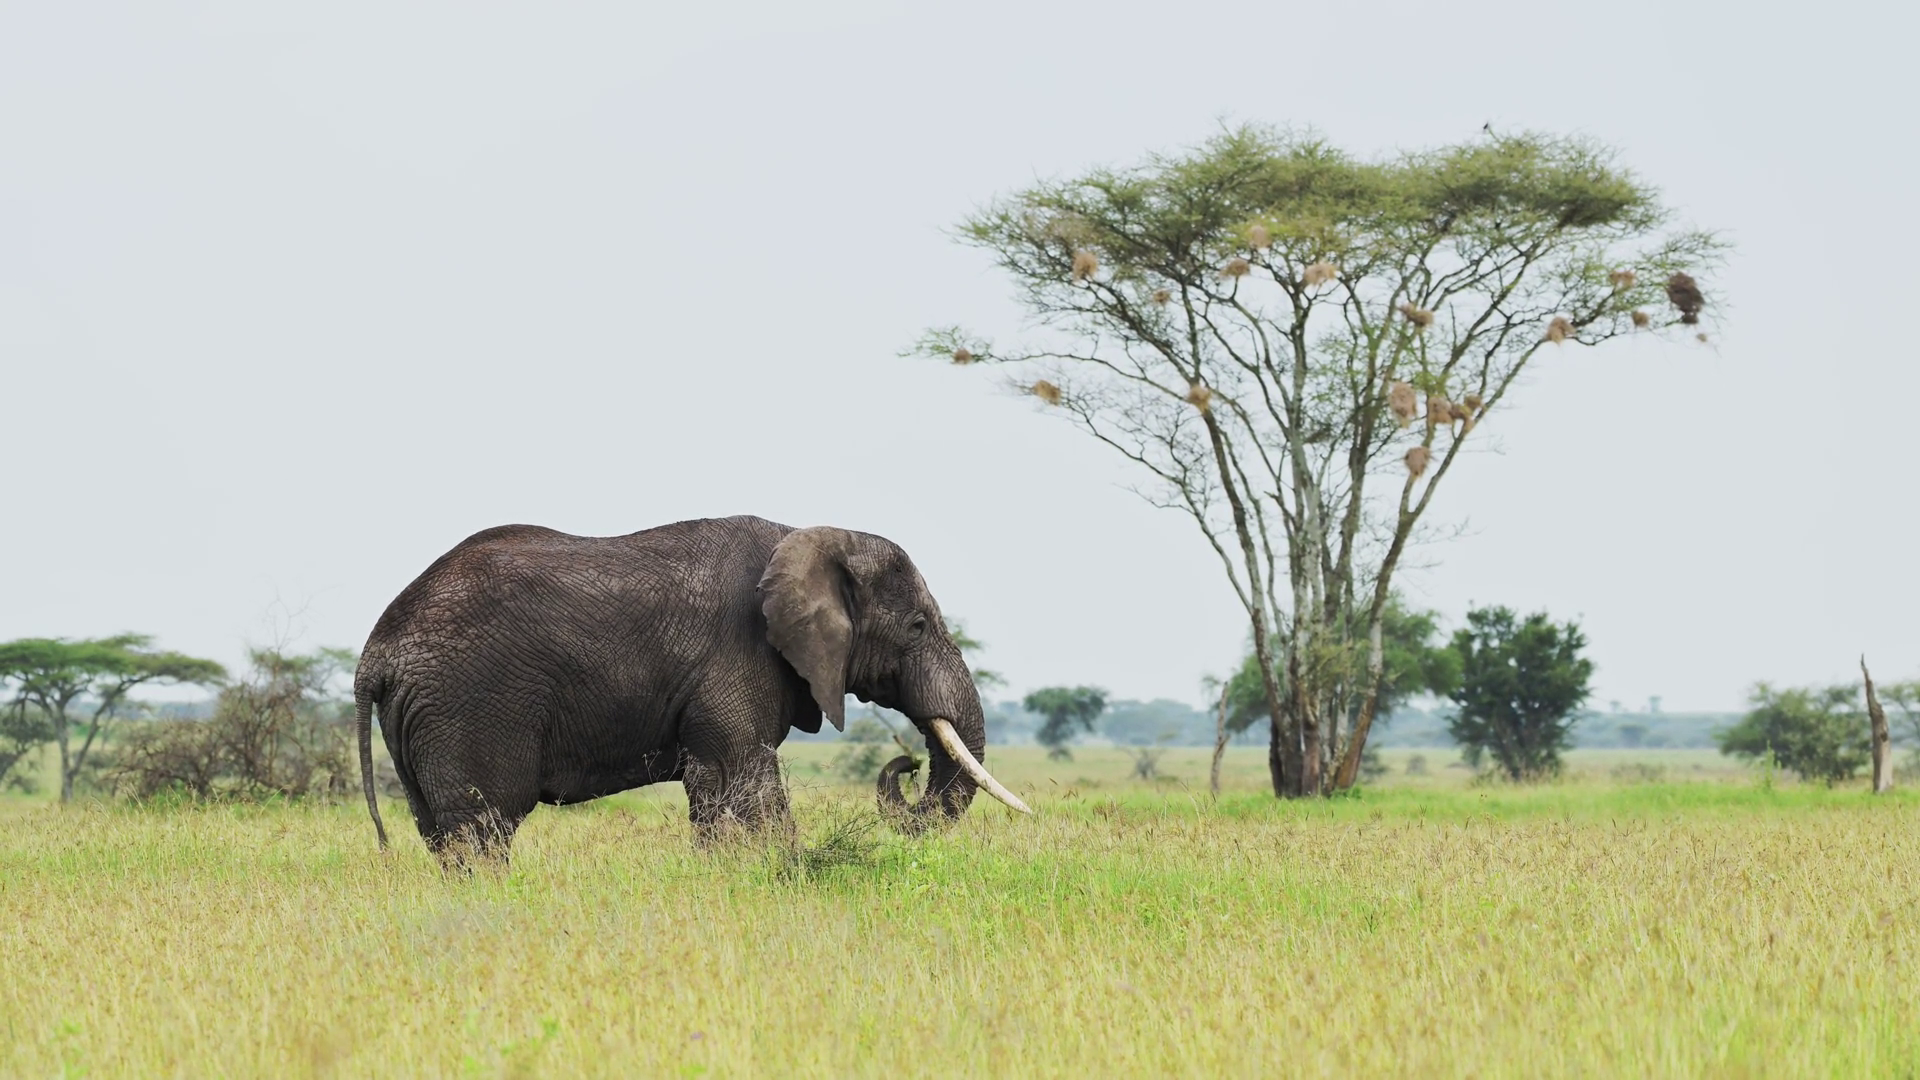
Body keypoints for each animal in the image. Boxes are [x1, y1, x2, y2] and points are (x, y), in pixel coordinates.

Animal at [352, 515, 1028, 861]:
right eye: (916, 627)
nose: (906, 763)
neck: (806, 535)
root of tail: (375, 653)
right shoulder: (738, 655)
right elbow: (743, 779)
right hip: (464, 705)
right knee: (480, 829)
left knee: (442, 832)